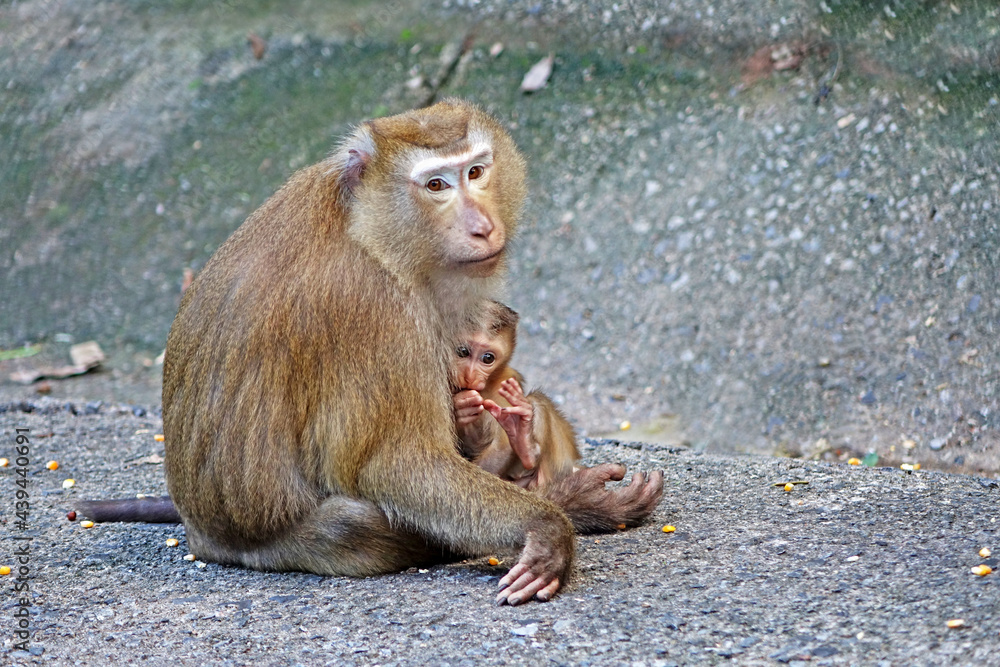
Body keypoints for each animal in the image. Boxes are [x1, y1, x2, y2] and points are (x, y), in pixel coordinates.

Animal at [452, 300, 580, 491]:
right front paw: (461, 408)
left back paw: (525, 445)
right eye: (463, 351)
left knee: (537, 400)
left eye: (488, 358)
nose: (470, 375)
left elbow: (502, 446)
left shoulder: (503, 384)